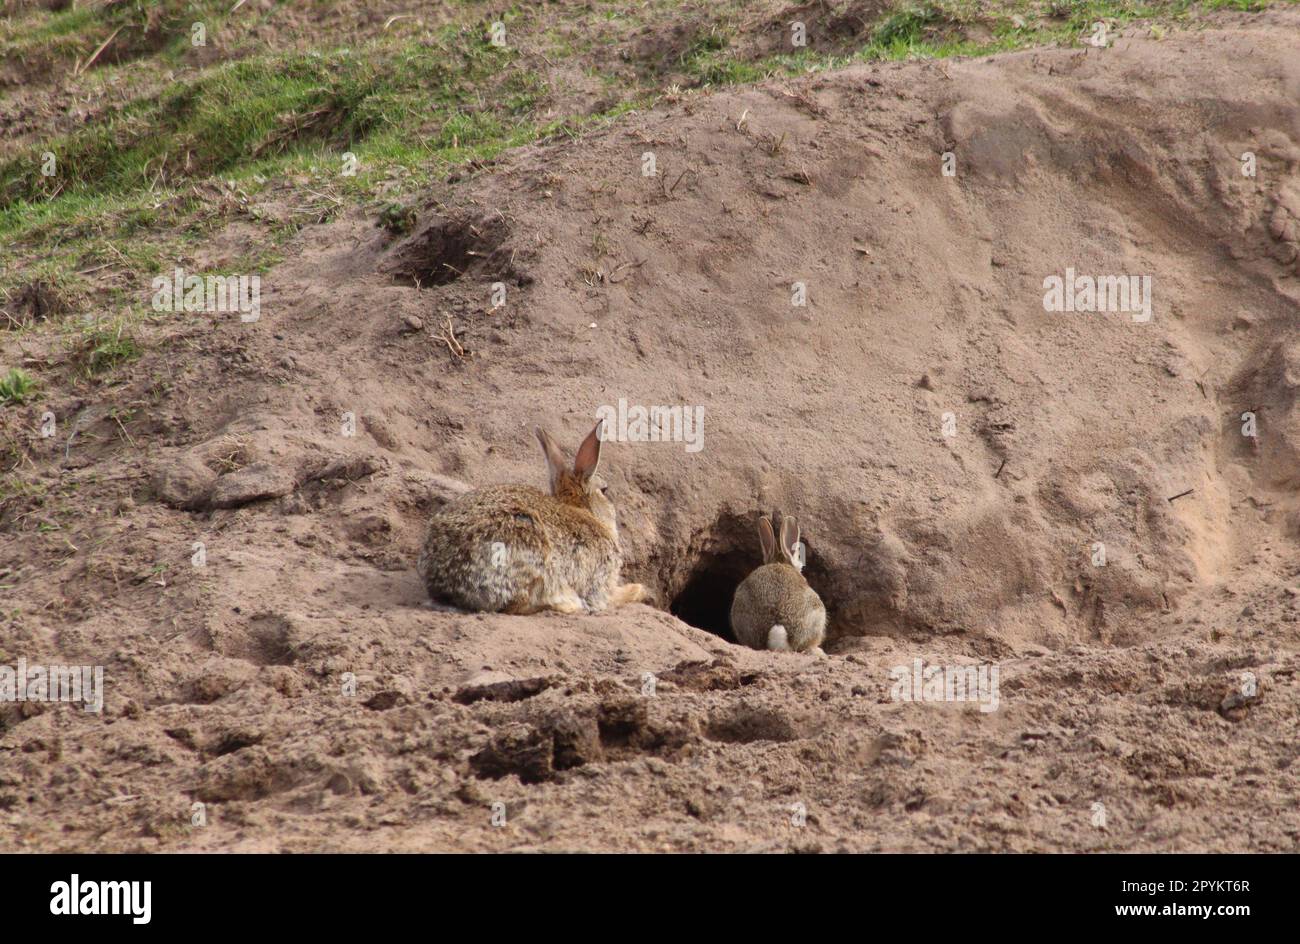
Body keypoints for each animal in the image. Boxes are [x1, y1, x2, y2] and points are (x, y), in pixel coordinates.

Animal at [417, 420, 648, 615]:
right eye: (605, 490)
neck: (581, 509)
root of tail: (448, 585)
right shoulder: (599, 584)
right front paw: (639, 590)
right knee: (518, 605)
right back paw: (570, 602)